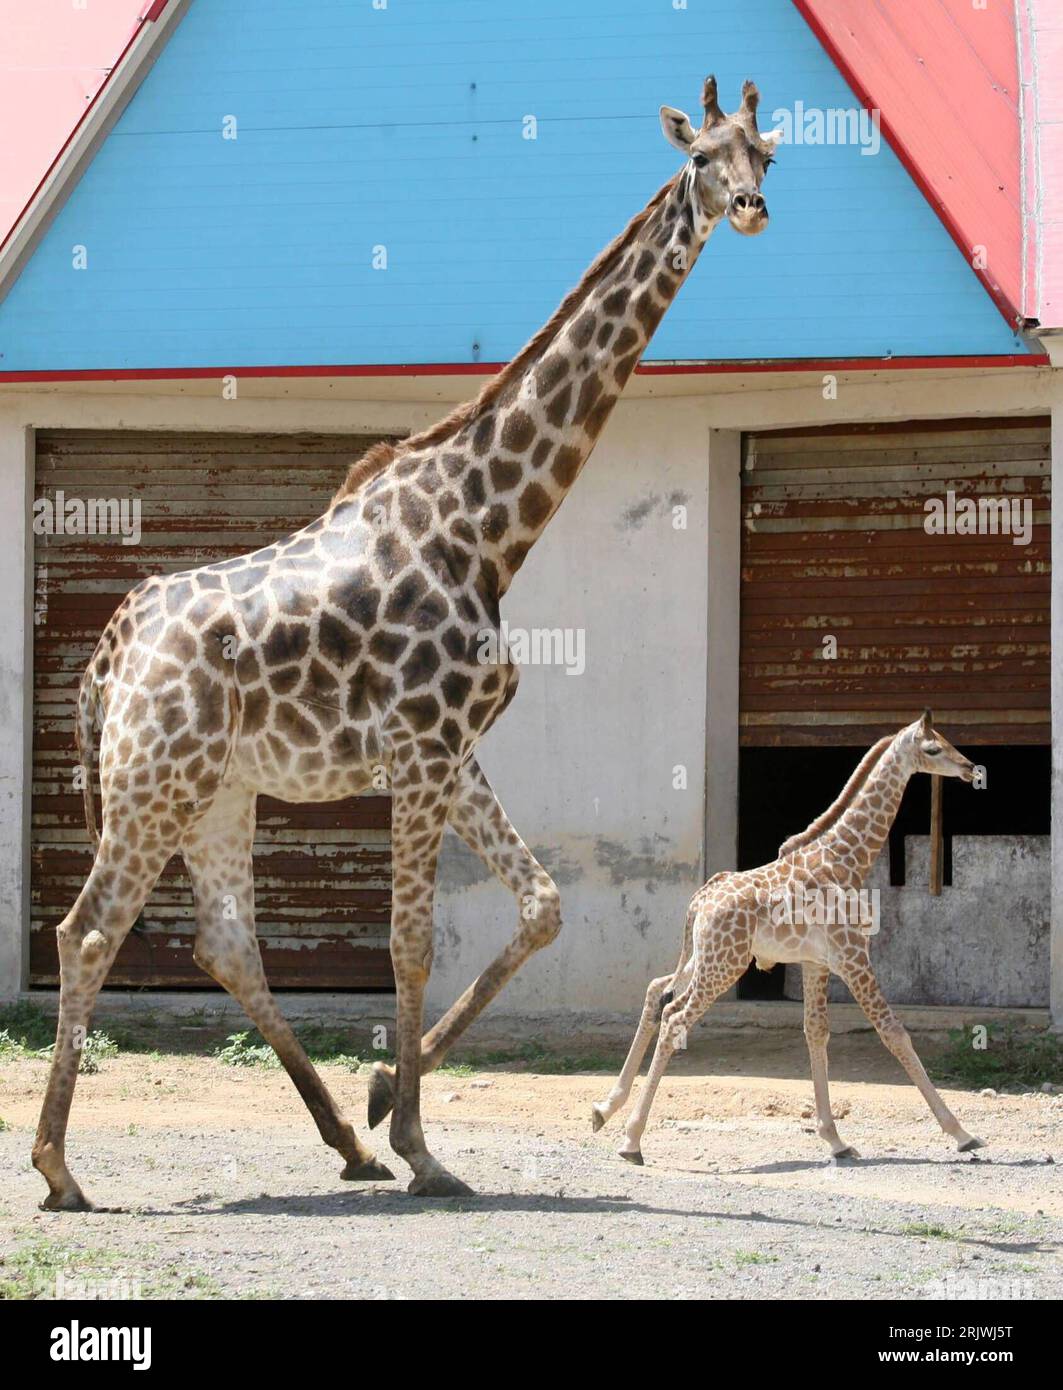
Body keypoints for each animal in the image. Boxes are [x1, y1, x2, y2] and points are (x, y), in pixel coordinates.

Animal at [32, 77, 780, 1208]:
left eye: (765, 154)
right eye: (701, 157)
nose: (747, 208)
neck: (487, 527)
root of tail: (112, 650)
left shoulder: (452, 751)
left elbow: (541, 906)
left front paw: (389, 1097)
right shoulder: (422, 753)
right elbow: (410, 940)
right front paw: (425, 1146)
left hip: (219, 790)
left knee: (225, 942)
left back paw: (344, 1142)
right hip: (153, 780)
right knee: (88, 931)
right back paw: (59, 1168)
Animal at [592, 712, 986, 1166]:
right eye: (933, 748)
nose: (969, 769)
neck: (848, 858)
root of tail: (700, 899)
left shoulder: (816, 963)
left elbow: (816, 1031)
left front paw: (835, 1139)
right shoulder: (853, 955)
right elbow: (894, 1032)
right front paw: (962, 1134)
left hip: (702, 957)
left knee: (657, 990)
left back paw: (605, 1110)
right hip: (724, 965)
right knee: (674, 1018)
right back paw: (631, 1140)